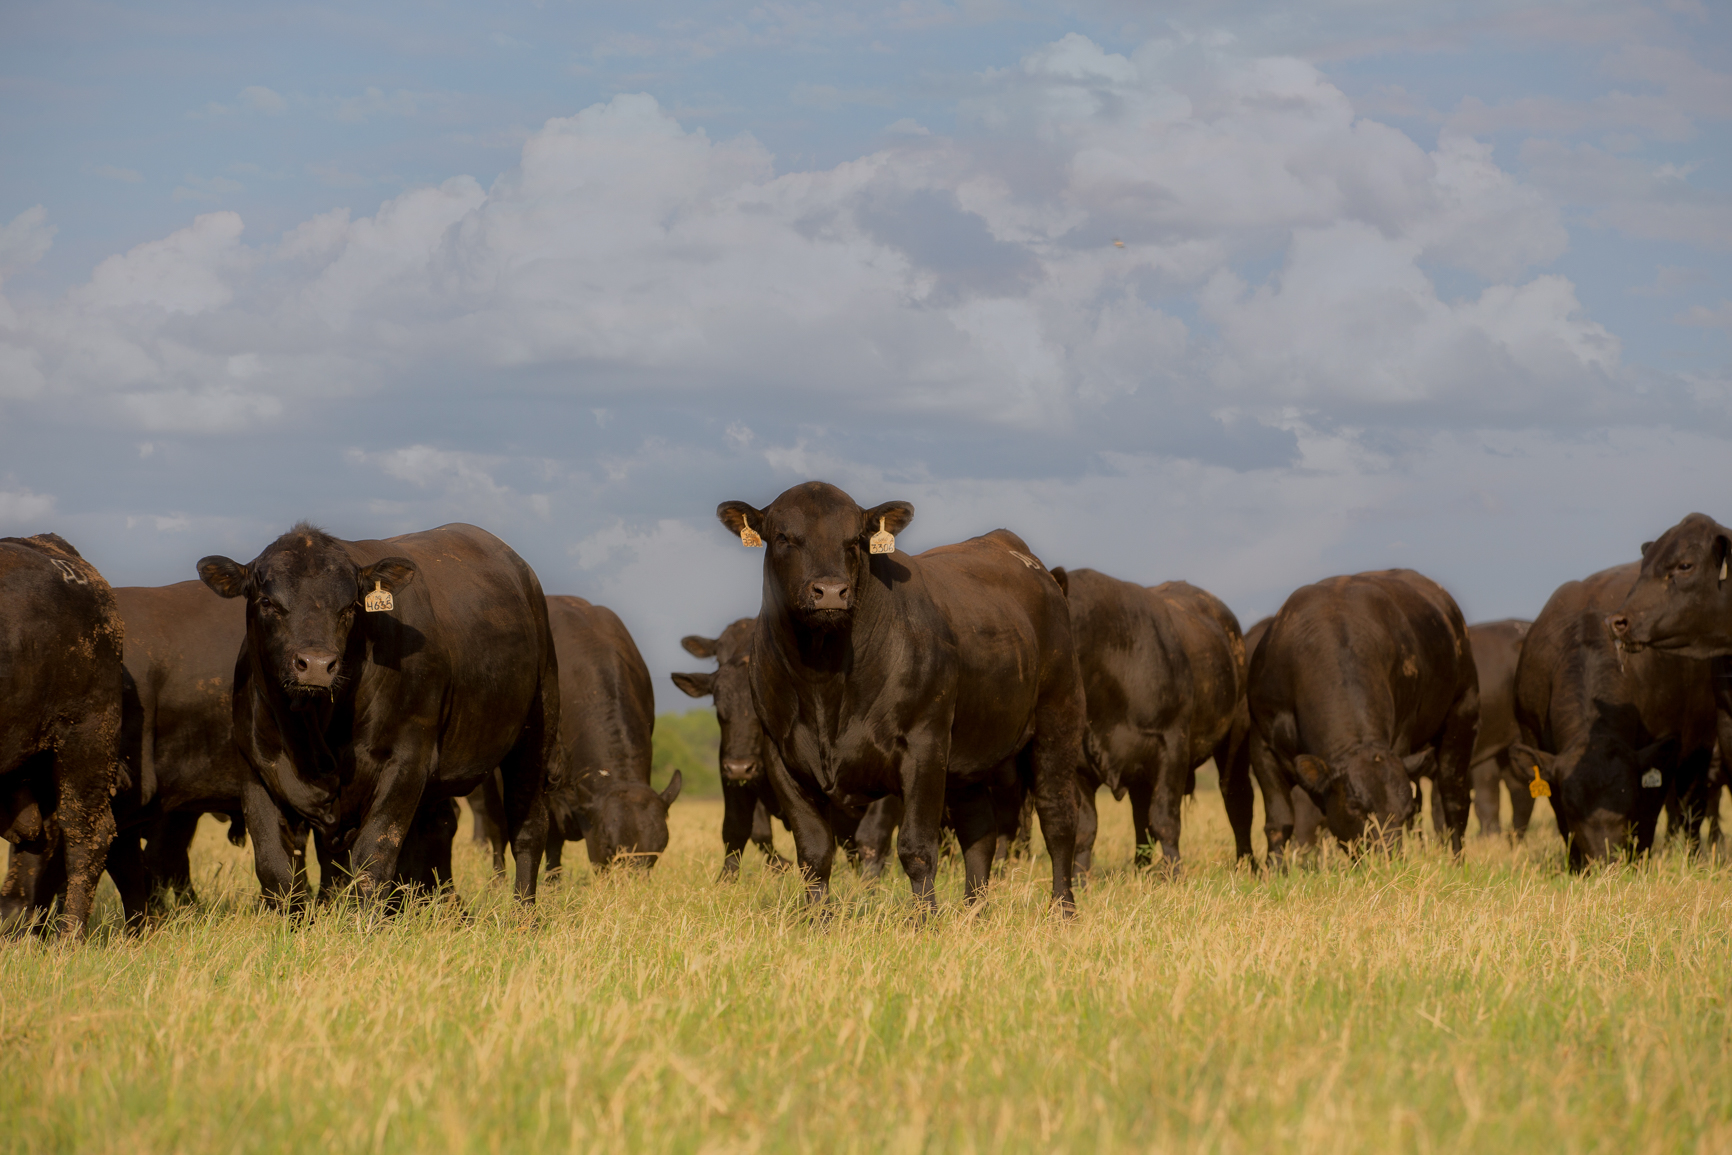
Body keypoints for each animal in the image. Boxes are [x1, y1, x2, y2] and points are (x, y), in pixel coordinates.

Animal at [196, 521, 557, 909]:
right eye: (267, 602)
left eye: (350, 607)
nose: (317, 665)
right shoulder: (255, 768)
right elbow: (275, 869)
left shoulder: (405, 762)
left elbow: (373, 859)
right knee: (437, 826)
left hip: (535, 734)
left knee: (527, 828)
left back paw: (523, 913)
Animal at [716, 481, 1084, 914]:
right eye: (784, 537)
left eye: (855, 540)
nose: (830, 592)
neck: (824, 680)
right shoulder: (780, 756)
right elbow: (814, 852)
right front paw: (818, 920)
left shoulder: (923, 746)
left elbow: (916, 848)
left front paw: (924, 920)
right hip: (968, 756)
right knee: (980, 831)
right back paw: (974, 912)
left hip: (1057, 722)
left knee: (1058, 818)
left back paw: (1063, 909)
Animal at [1049, 568, 1254, 874]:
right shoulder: (1078, 764)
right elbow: (1086, 829)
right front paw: (1080, 878)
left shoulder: (1172, 746)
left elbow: (1165, 821)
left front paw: (1175, 876)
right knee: (1139, 818)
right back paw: (1140, 868)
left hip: (1235, 736)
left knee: (1237, 799)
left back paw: (1249, 865)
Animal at [1248, 569, 1479, 866]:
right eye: (1355, 807)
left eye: (1402, 812)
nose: (1386, 860)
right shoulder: (1261, 744)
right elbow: (1280, 821)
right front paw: (1276, 870)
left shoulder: (1401, 735)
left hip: (1463, 715)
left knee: (1454, 800)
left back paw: (1457, 862)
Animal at [1514, 562, 1716, 869]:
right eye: (1572, 807)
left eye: (1629, 801)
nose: (1606, 861)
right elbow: (1563, 826)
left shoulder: (1661, 758)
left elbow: (1648, 822)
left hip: (1700, 748)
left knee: (1691, 811)